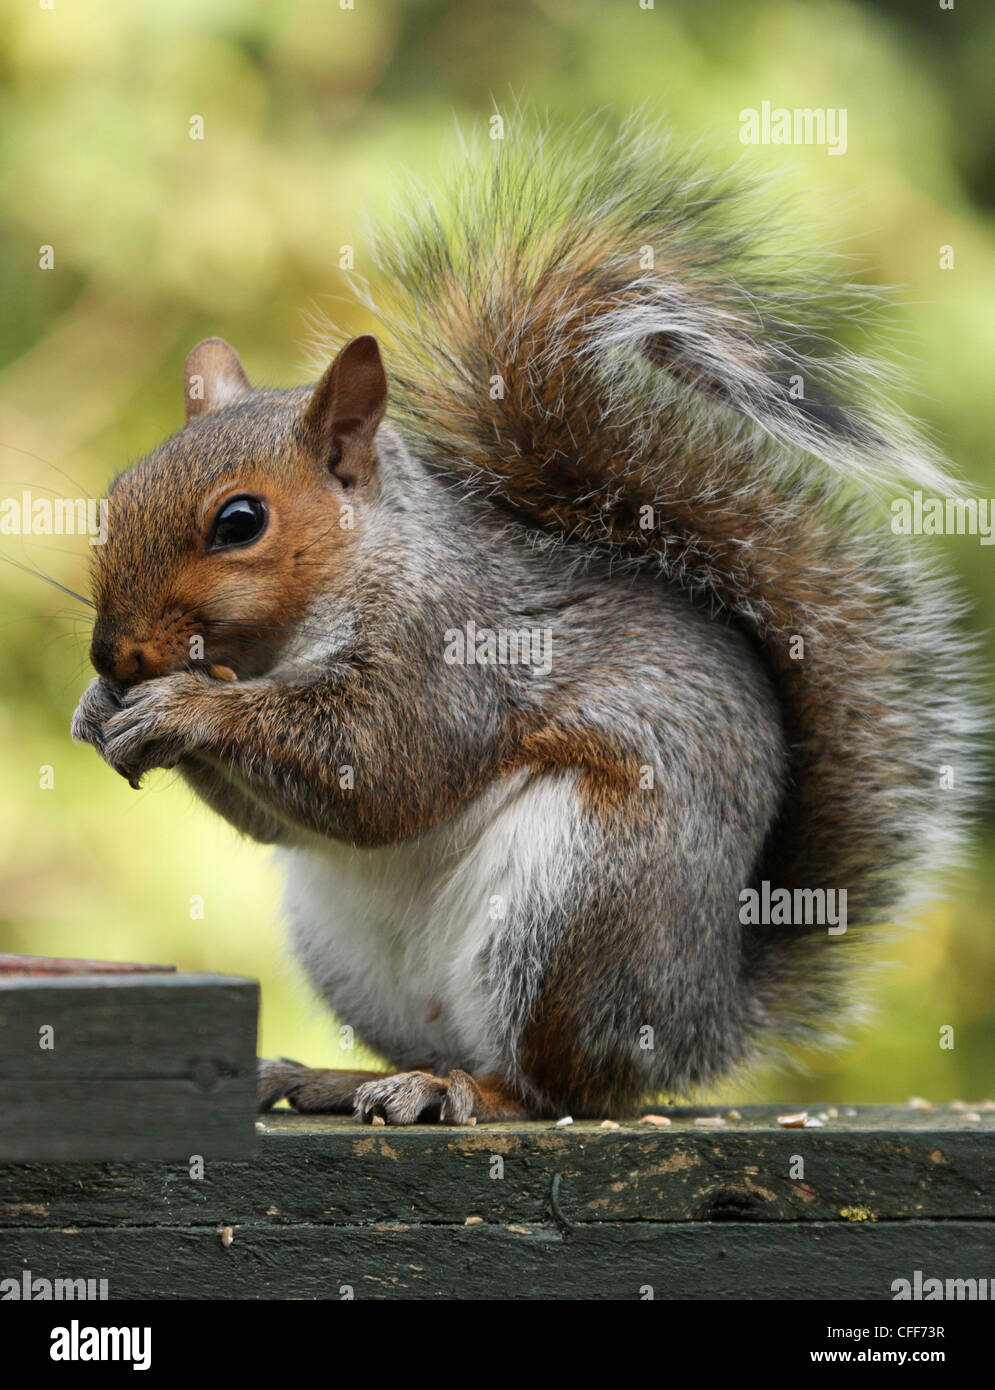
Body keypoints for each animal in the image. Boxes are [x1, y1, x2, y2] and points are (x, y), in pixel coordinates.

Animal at [71, 120, 980, 1124]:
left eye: (240, 521)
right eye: (117, 492)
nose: (112, 654)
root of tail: (701, 1015)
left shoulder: (452, 652)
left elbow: (379, 770)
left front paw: (183, 708)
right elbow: (287, 821)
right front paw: (98, 708)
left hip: (578, 909)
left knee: (551, 1085)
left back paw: (458, 1089)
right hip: (352, 950)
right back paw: (341, 1077)